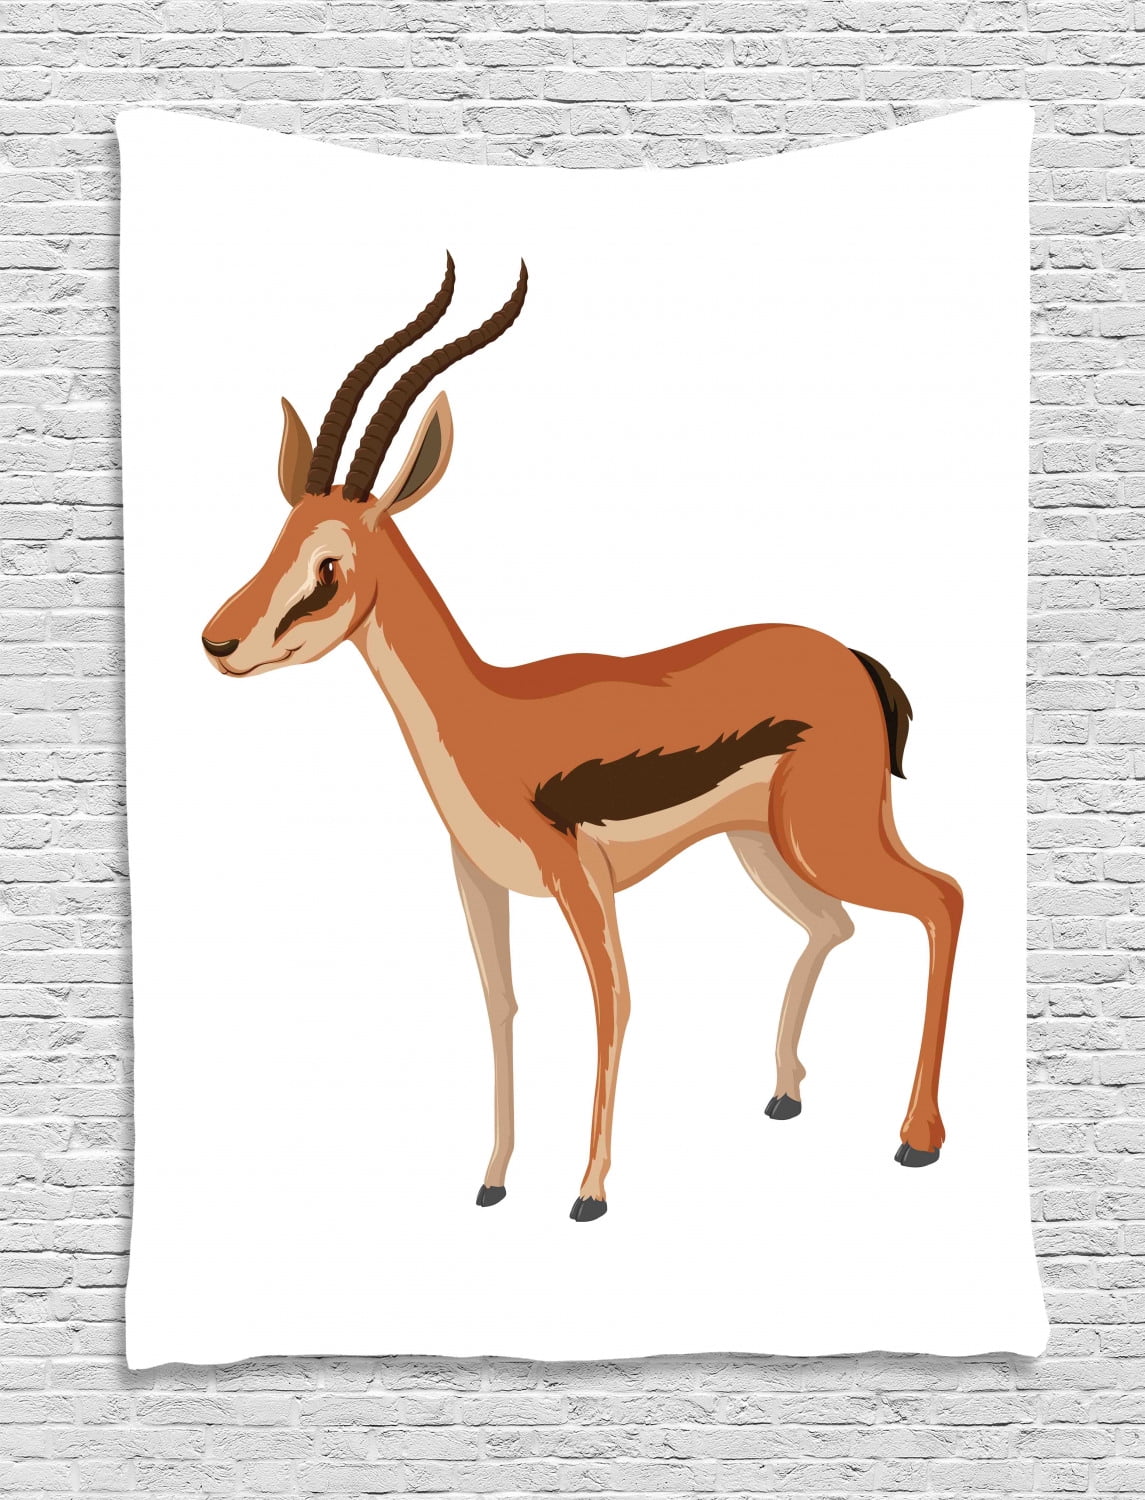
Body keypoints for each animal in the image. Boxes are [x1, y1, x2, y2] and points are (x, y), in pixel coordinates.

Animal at [203, 255, 963, 1222]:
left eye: (328, 564)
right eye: (278, 538)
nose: (218, 641)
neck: (488, 713)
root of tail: (853, 659)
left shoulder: (579, 879)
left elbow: (613, 1000)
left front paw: (588, 1193)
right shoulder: (478, 879)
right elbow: (501, 1005)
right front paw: (492, 1180)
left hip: (824, 838)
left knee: (940, 899)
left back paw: (917, 1141)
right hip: (764, 846)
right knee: (835, 926)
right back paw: (784, 1095)